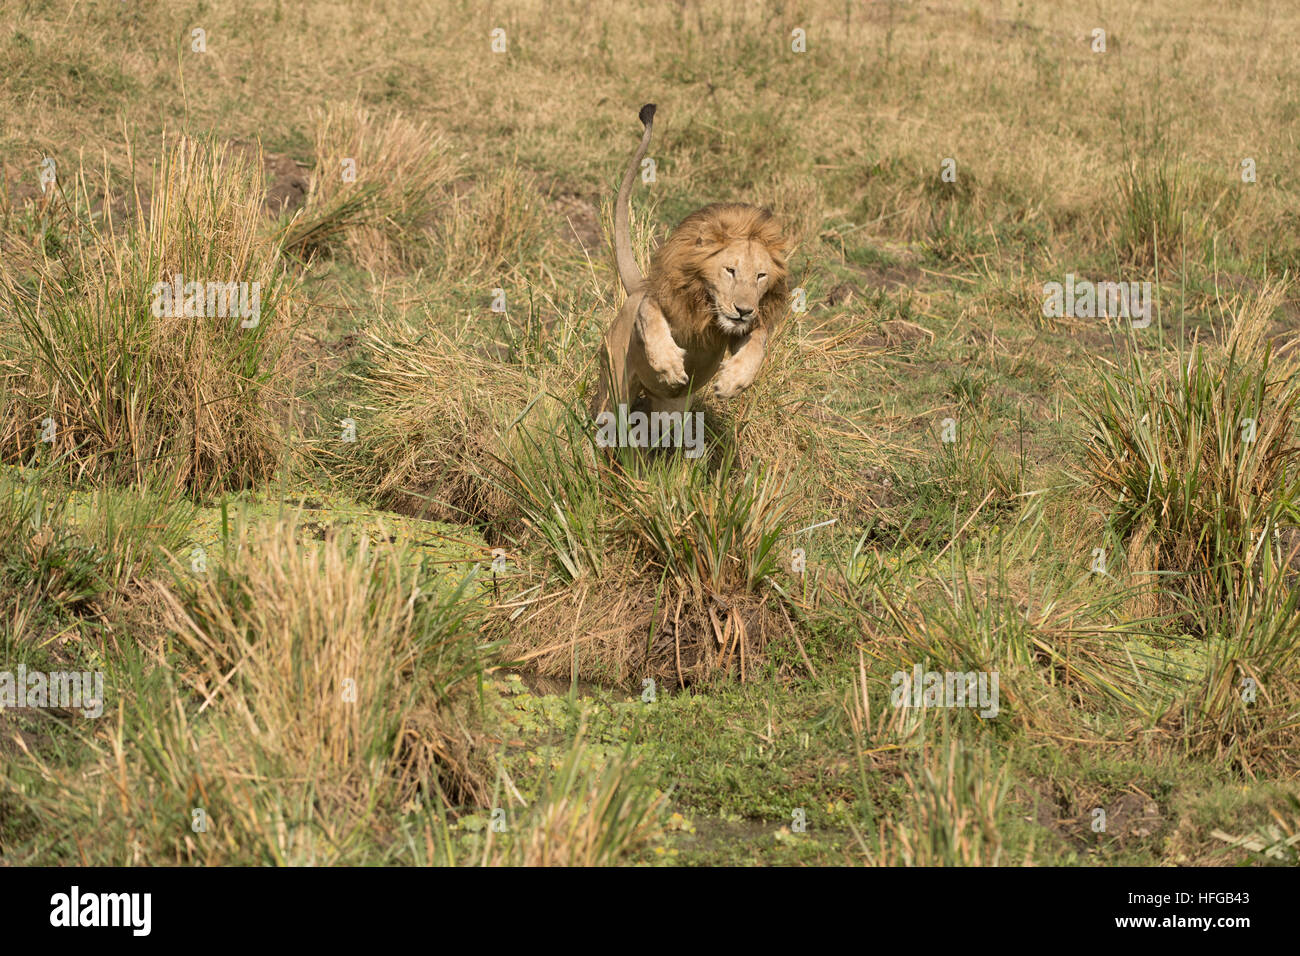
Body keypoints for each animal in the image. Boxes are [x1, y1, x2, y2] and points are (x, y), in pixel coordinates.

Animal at [591, 103, 791, 426]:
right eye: (730, 270)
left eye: (760, 276)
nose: (744, 310)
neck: (706, 305)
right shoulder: (659, 301)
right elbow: (650, 318)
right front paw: (670, 365)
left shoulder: (737, 331)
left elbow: (758, 342)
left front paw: (732, 382)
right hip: (614, 386)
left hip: (670, 410)